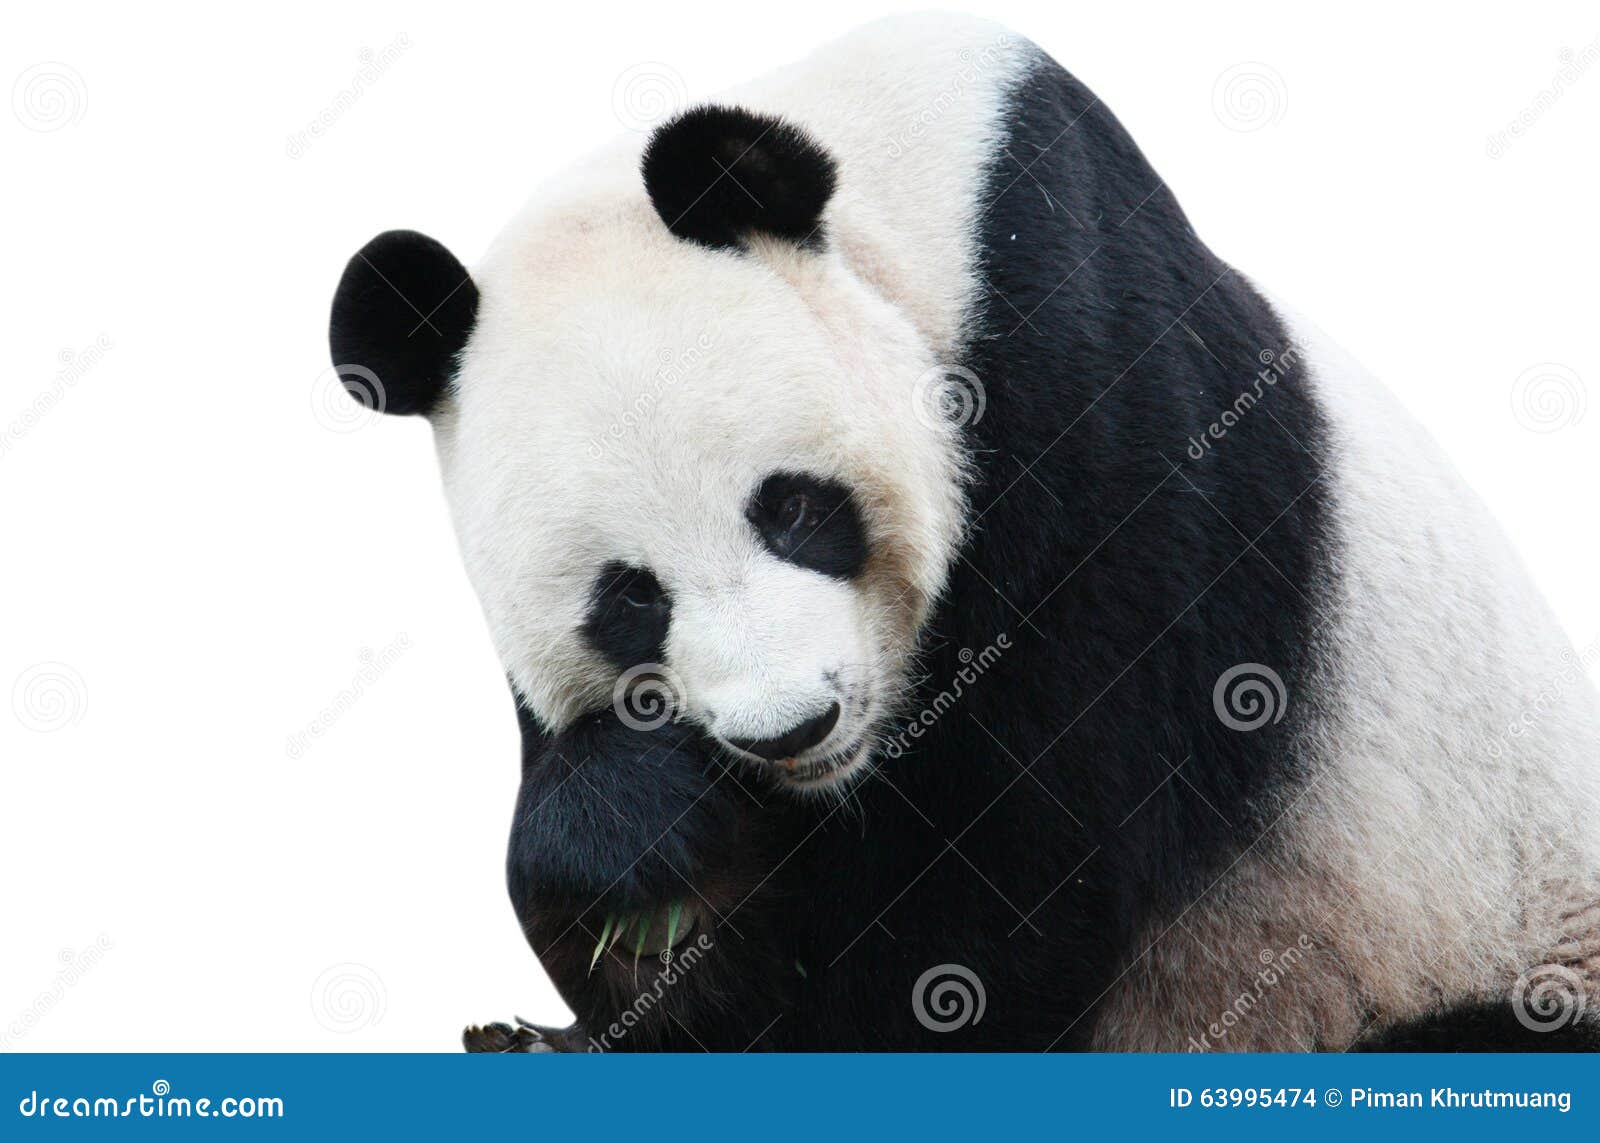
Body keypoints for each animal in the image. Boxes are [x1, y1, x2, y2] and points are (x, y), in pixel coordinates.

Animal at [327, 14, 1600, 1050]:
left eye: (795, 509)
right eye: (627, 598)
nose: (793, 729)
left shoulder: (1096, 409)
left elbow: (1009, 891)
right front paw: (635, 851)